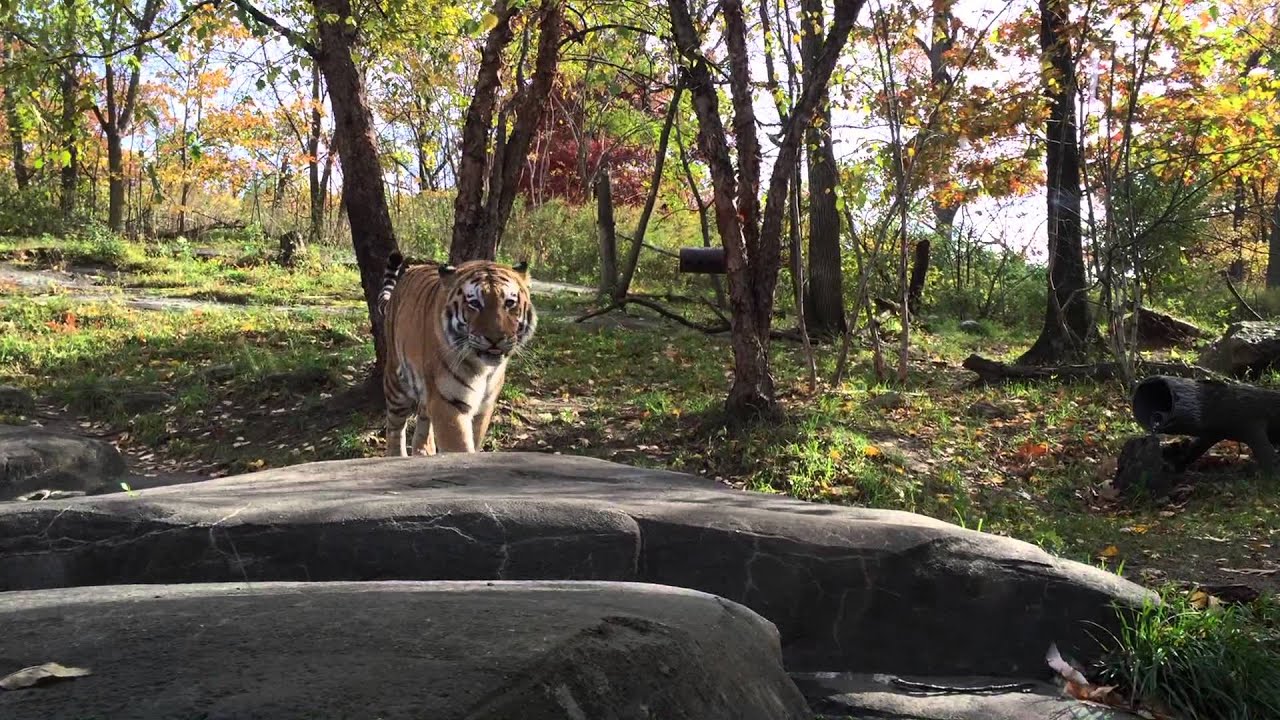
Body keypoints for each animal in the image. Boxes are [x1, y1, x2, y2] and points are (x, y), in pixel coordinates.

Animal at [376, 250, 537, 456]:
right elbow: (459, 447)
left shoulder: (484, 407)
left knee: (423, 420)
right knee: (395, 427)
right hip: (396, 384)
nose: (495, 338)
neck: (484, 370)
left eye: (509, 303)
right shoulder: (448, 403)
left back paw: (424, 452)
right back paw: (397, 455)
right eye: (474, 303)